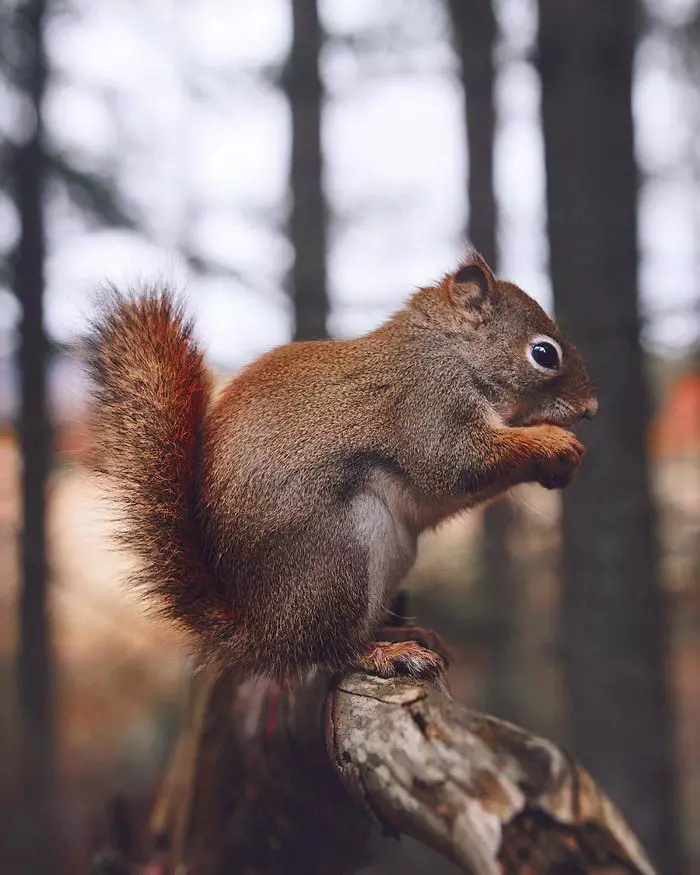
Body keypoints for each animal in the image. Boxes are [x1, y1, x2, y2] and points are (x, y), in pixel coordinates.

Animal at [86, 250, 596, 680]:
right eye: (543, 353)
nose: (591, 408)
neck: (450, 351)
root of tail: (260, 632)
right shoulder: (428, 403)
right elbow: (457, 463)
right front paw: (551, 441)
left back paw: (402, 633)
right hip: (339, 557)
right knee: (326, 652)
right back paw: (387, 653)